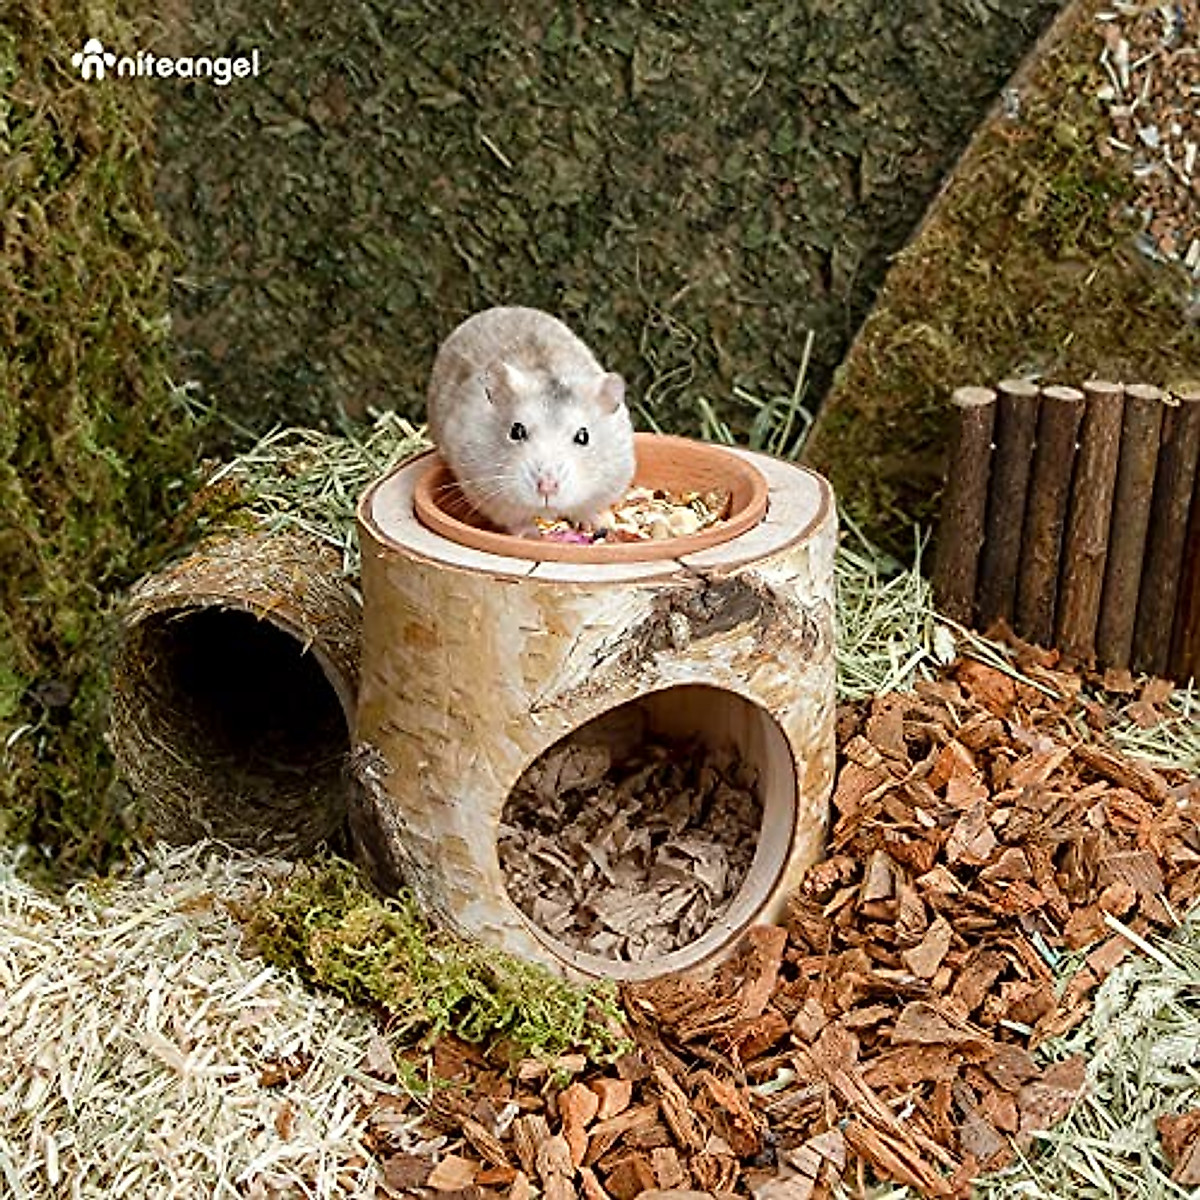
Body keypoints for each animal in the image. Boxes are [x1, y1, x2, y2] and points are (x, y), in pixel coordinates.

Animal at [426, 306, 636, 536]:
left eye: (583, 436)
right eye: (516, 431)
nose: (547, 487)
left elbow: (588, 507)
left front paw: (599, 524)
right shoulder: (482, 487)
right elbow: (516, 519)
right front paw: (531, 535)